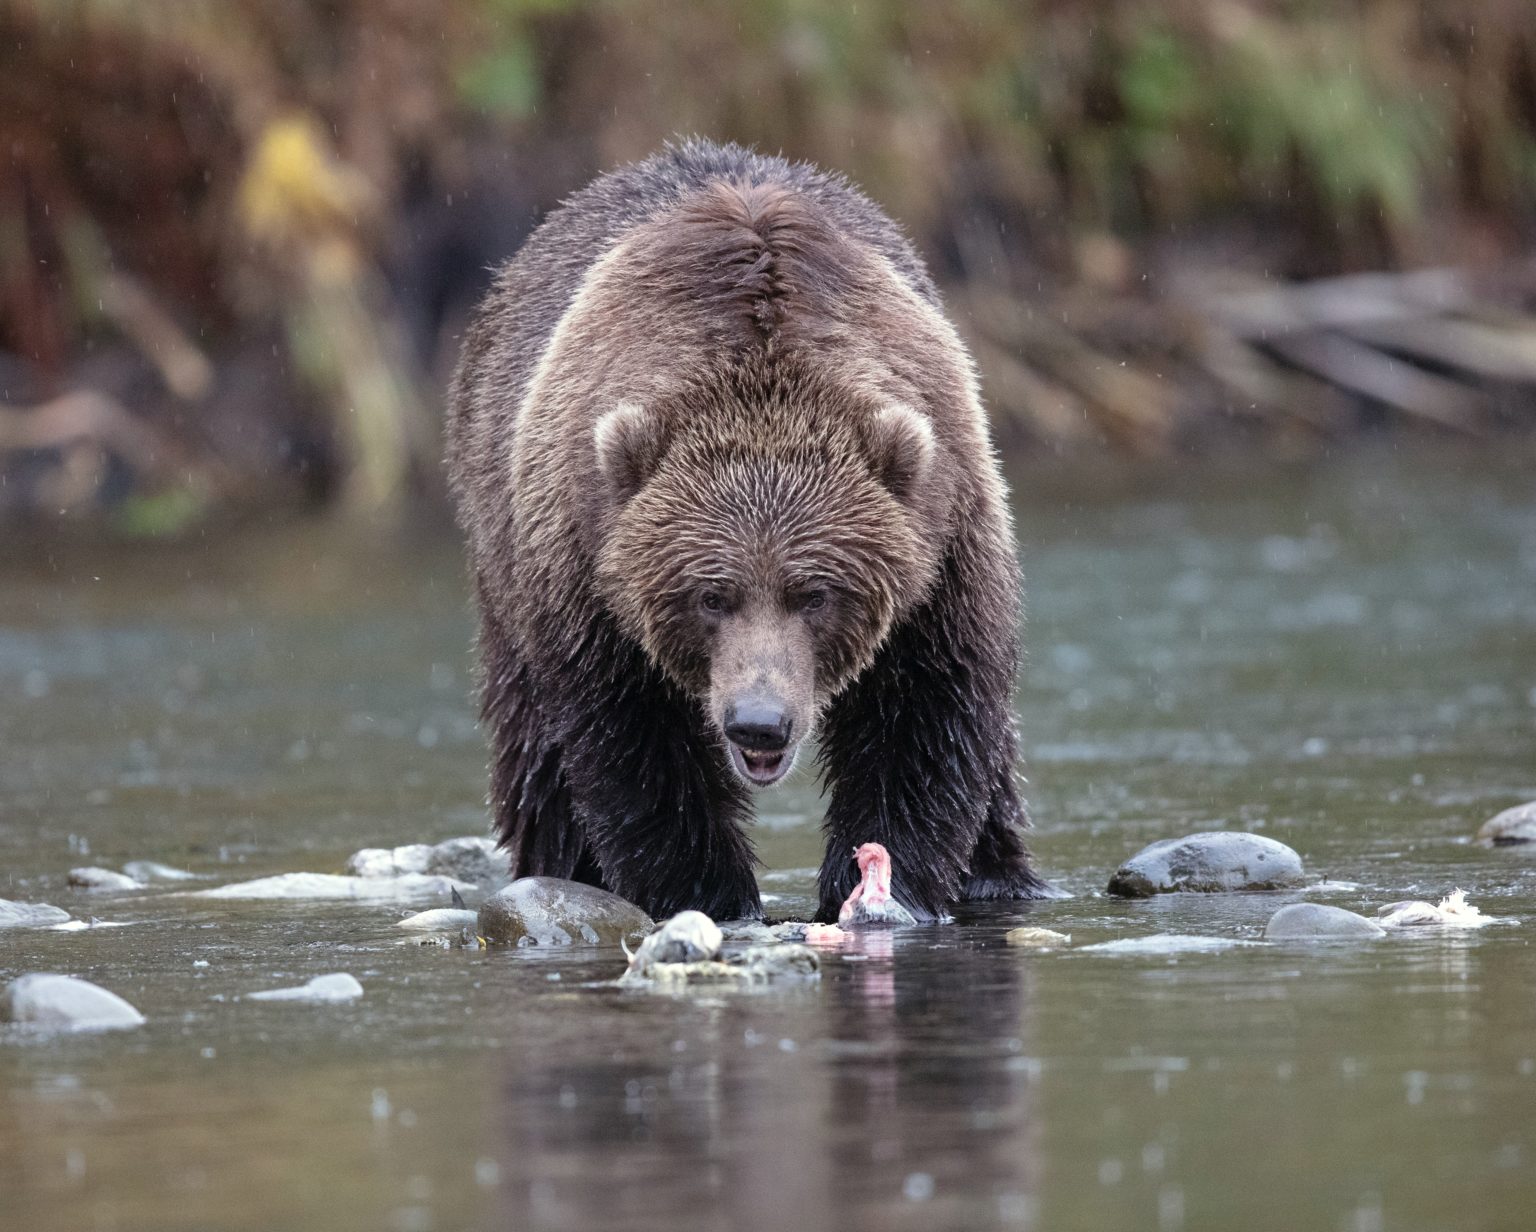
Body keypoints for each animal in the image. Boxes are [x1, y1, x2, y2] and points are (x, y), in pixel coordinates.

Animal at [447, 138, 1049, 923]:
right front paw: (710, 892)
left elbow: (925, 715)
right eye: (711, 595)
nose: (759, 722)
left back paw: (998, 873)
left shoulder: (942, 546)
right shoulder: (586, 566)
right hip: (502, 549)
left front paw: (891, 885)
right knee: (535, 745)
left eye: (816, 593)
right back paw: (562, 865)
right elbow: (634, 743)